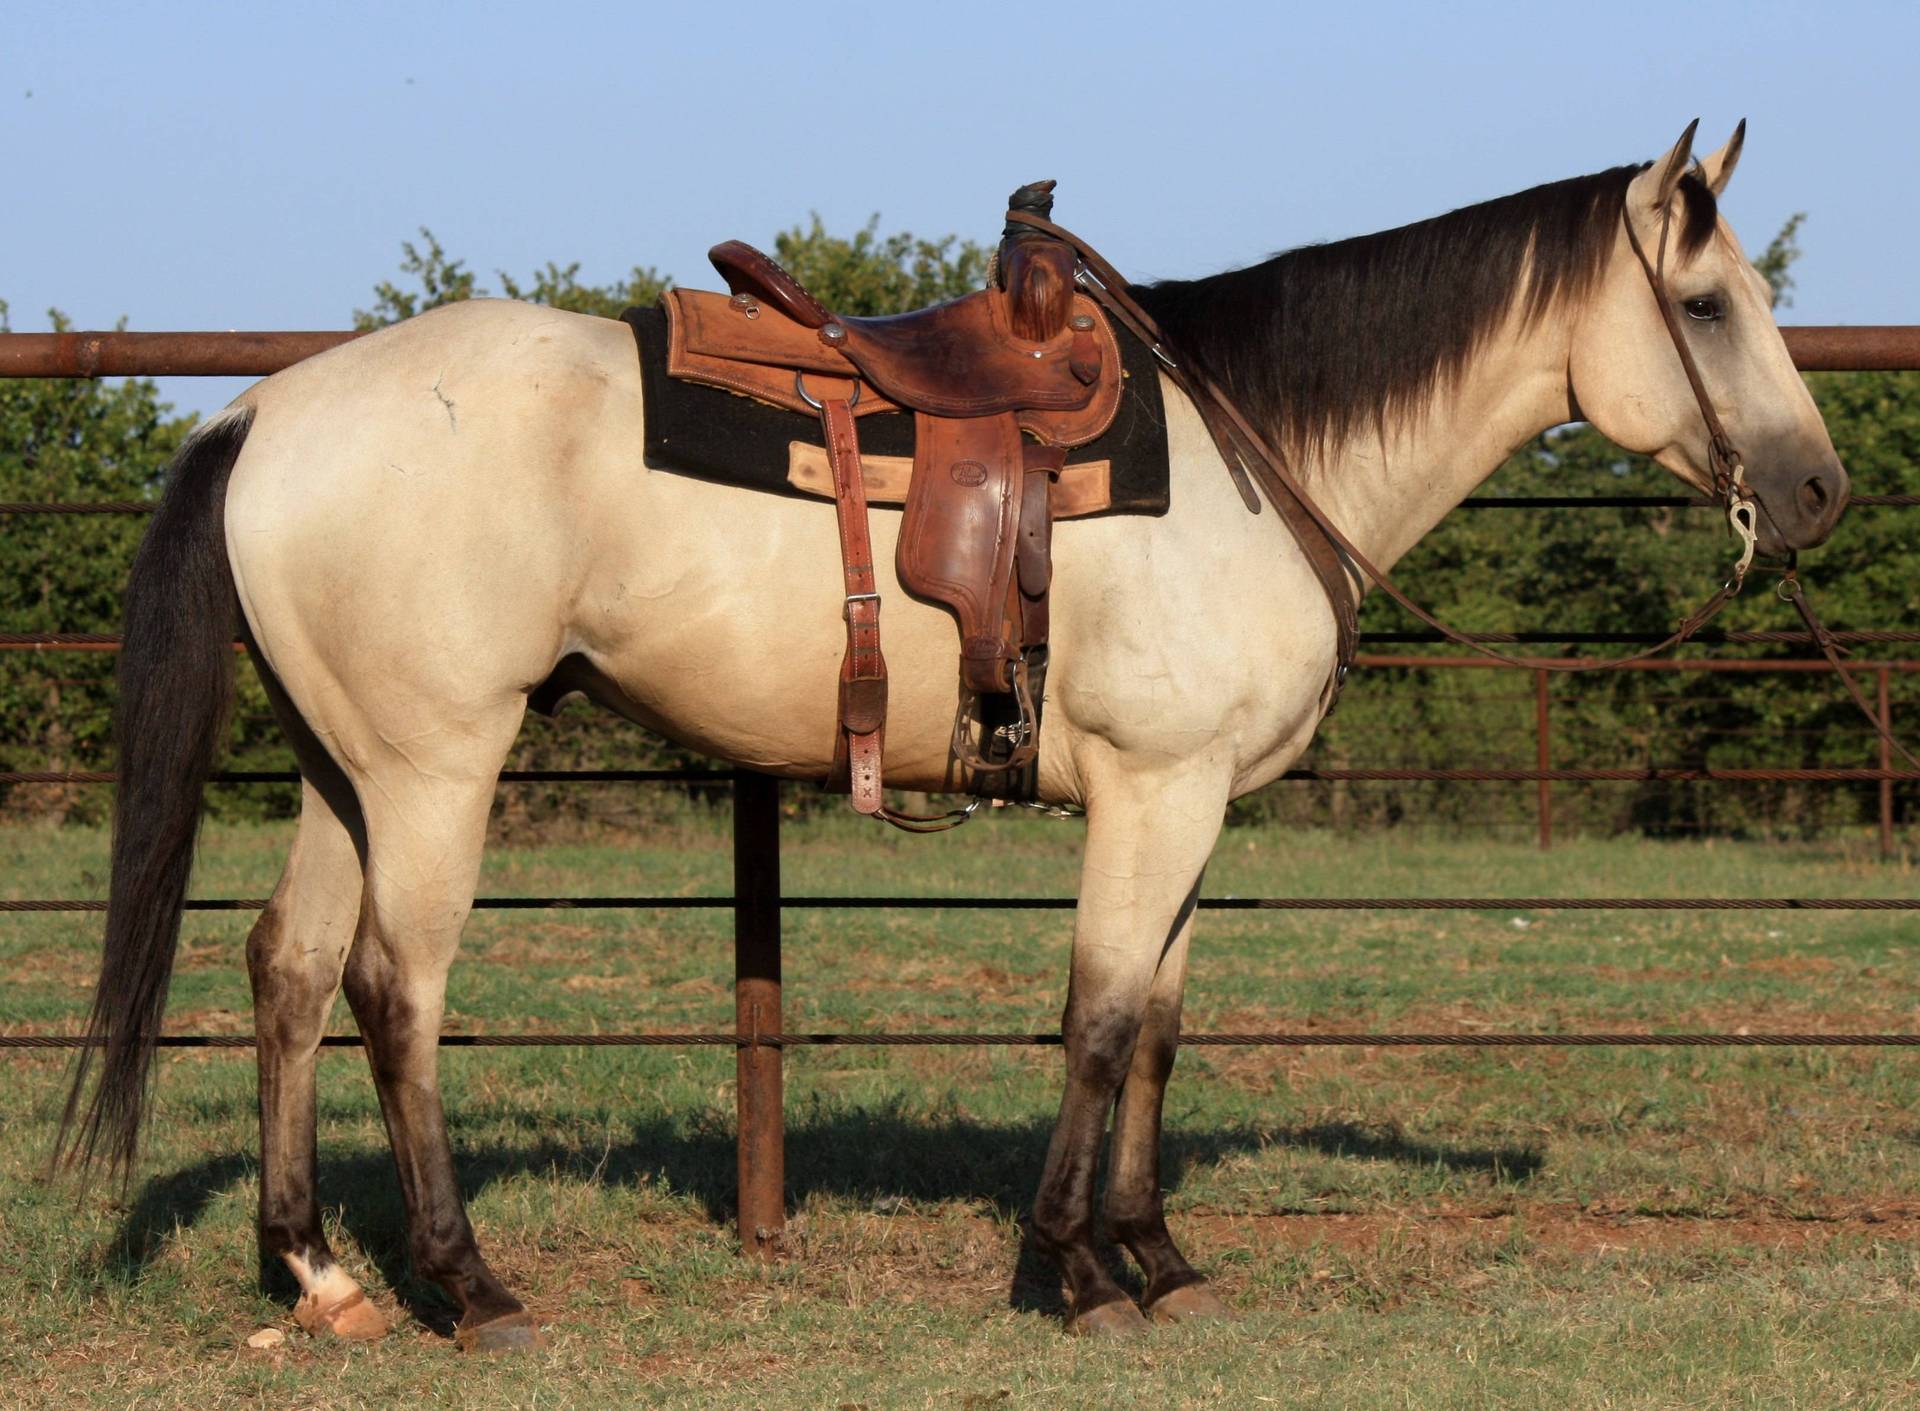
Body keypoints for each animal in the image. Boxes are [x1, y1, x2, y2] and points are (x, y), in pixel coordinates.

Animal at [59, 122, 1848, 1347]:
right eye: (1705, 302)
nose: (1821, 489)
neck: (1255, 451)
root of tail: (266, 407)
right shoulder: (1152, 791)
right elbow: (1101, 1018)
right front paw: (1073, 1268)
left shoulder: (1193, 805)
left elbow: (1159, 1025)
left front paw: (1153, 1251)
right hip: (437, 767)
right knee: (394, 989)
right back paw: (467, 1281)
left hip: (344, 768)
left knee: (290, 970)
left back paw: (318, 1269)